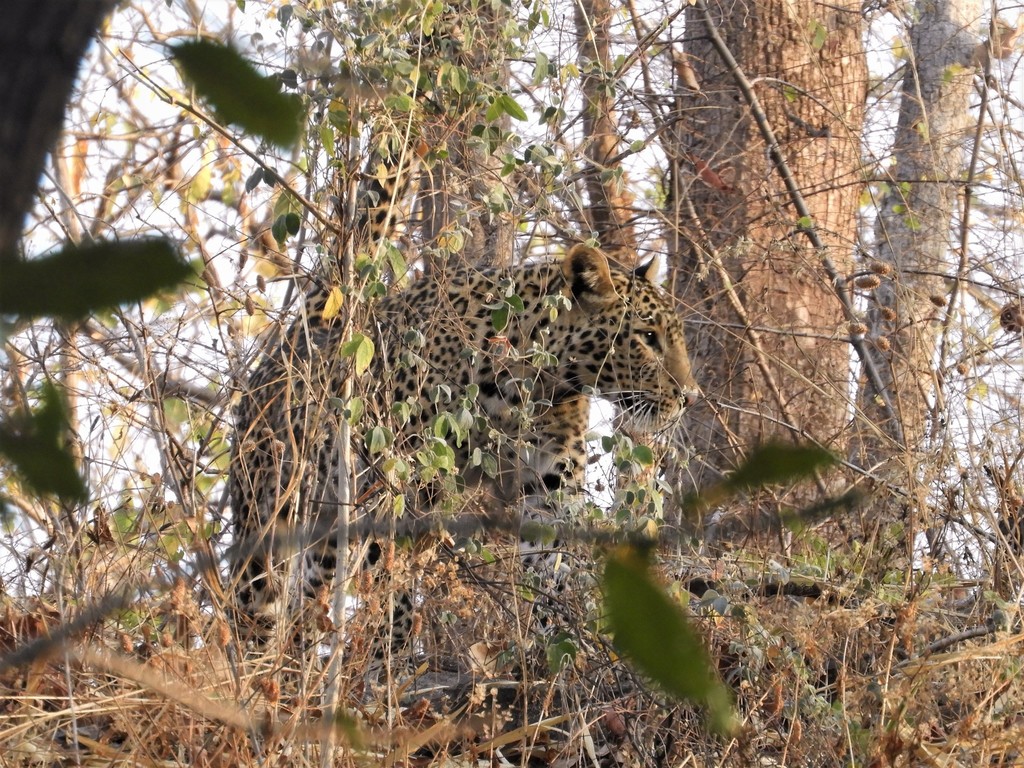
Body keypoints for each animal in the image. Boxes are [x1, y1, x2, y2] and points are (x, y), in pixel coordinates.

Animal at [226, 152, 700, 661]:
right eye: (648, 337)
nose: (691, 397)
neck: (534, 380)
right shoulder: (393, 478)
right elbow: (388, 578)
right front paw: (388, 653)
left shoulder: (551, 478)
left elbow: (552, 561)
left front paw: (558, 644)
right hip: (268, 512)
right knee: (255, 597)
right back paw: (252, 664)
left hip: (325, 530)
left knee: (309, 592)